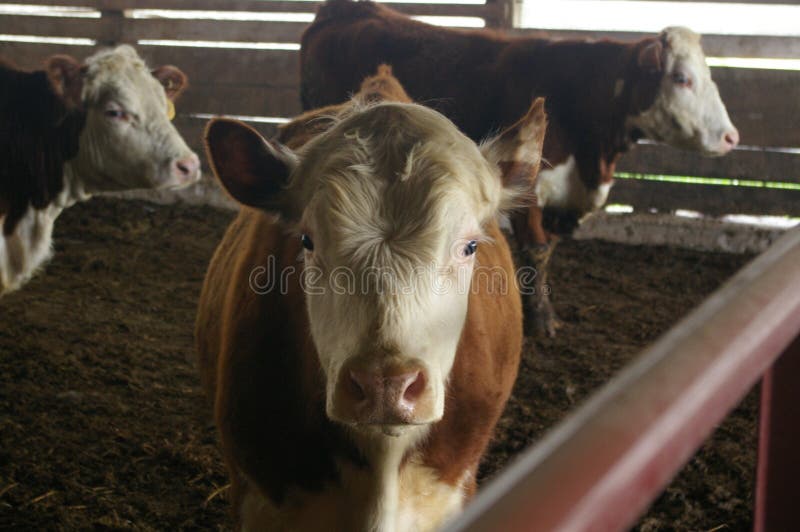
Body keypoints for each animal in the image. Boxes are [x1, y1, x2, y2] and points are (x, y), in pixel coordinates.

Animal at [299, 0, 739, 337]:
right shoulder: (529, 186)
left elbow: (548, 251)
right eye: (681, 78)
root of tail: (349, 8)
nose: (731, 137)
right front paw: (542, 320)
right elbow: (536, 249)